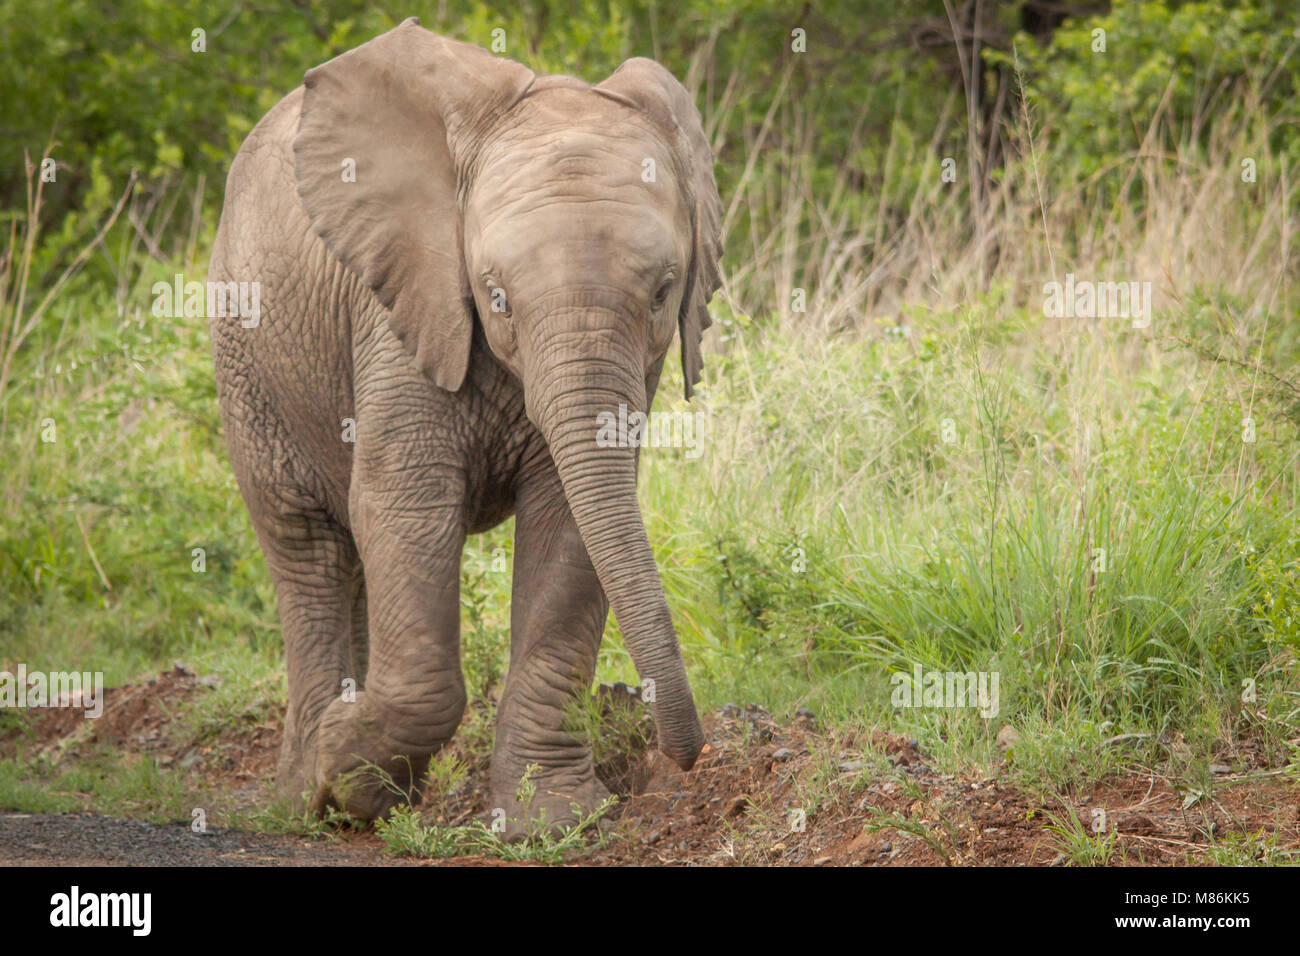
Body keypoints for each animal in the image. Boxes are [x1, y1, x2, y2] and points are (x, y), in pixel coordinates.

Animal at [207, 18, 722, 836]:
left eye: (663, 293)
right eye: (496, 296)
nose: (686, 757)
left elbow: (572, 525)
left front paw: (552, 821)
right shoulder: (401, 311)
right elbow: (405, 508)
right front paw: (347, 776)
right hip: (248, 357)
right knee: (308, 544)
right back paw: (307, 799)